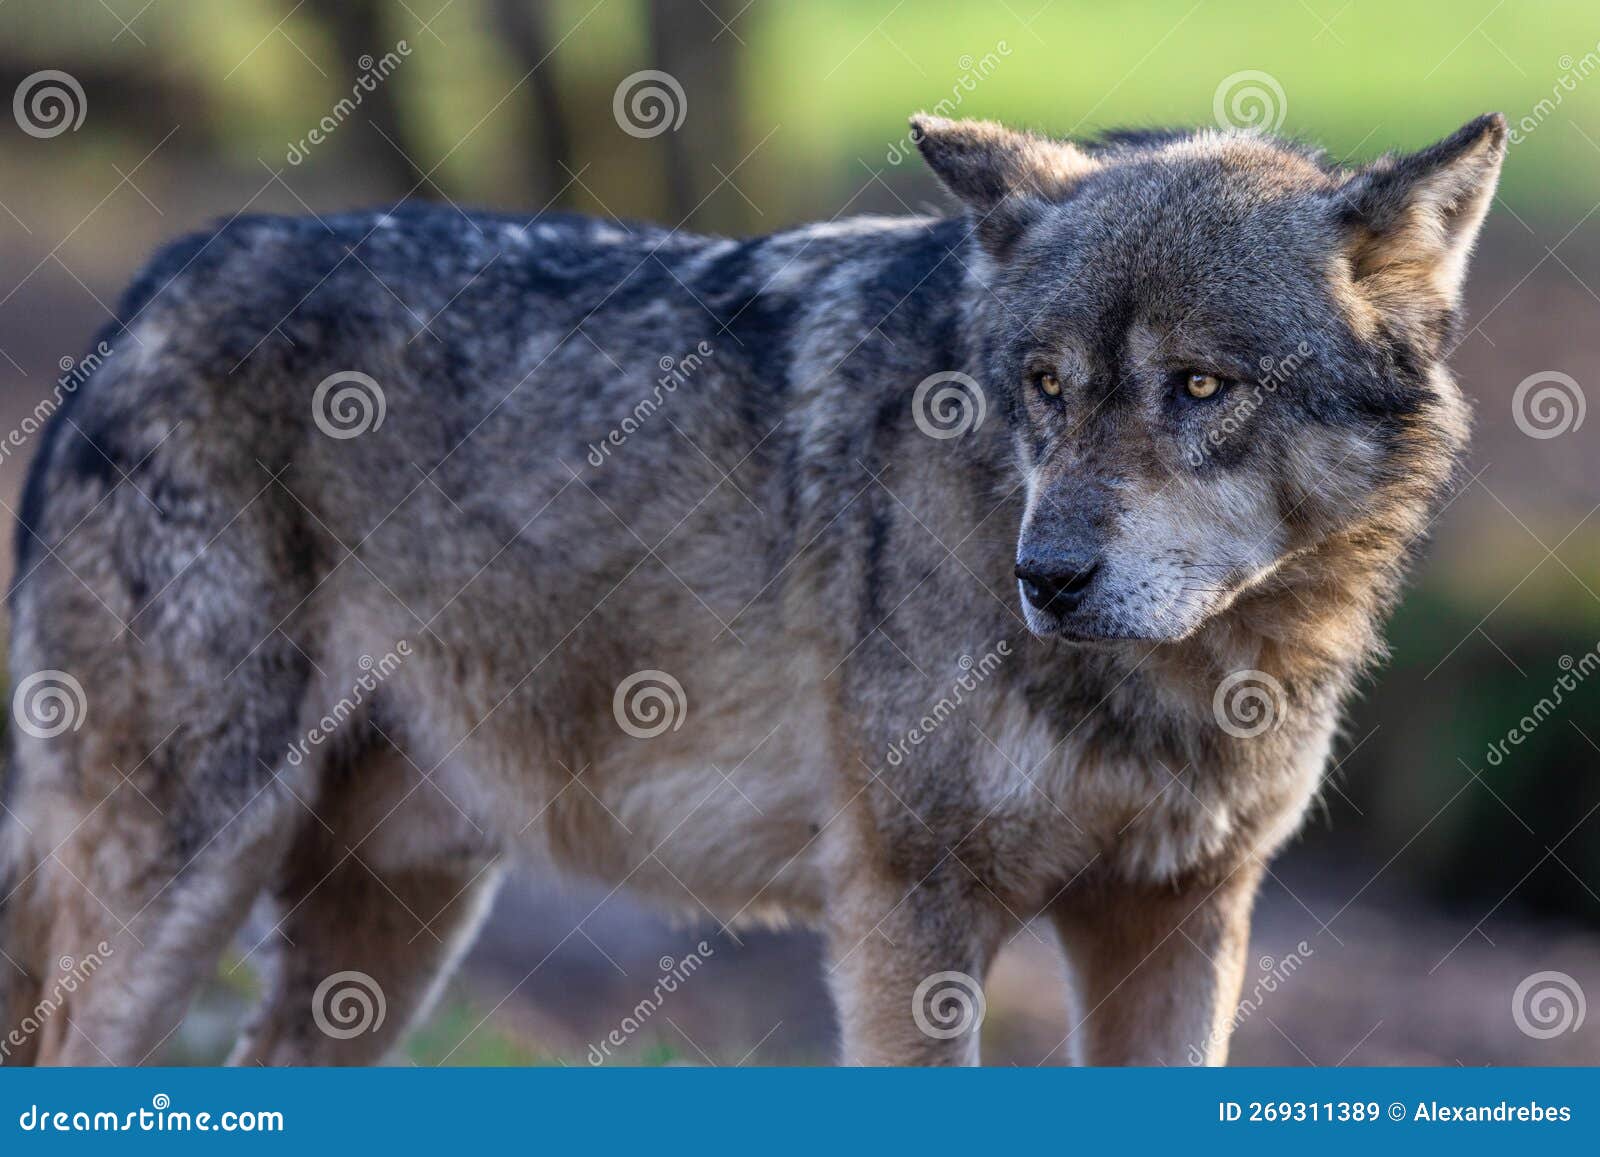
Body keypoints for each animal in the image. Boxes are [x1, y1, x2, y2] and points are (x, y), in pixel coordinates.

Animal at [0, 112, 1503, 1065]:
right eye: (1046, 386)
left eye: (1199, 387)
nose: (1045, 577)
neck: (1198, 674)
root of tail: (155, 279)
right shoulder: (907, 918)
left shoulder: (1182, 922)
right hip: (184, 887)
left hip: (389, 931)